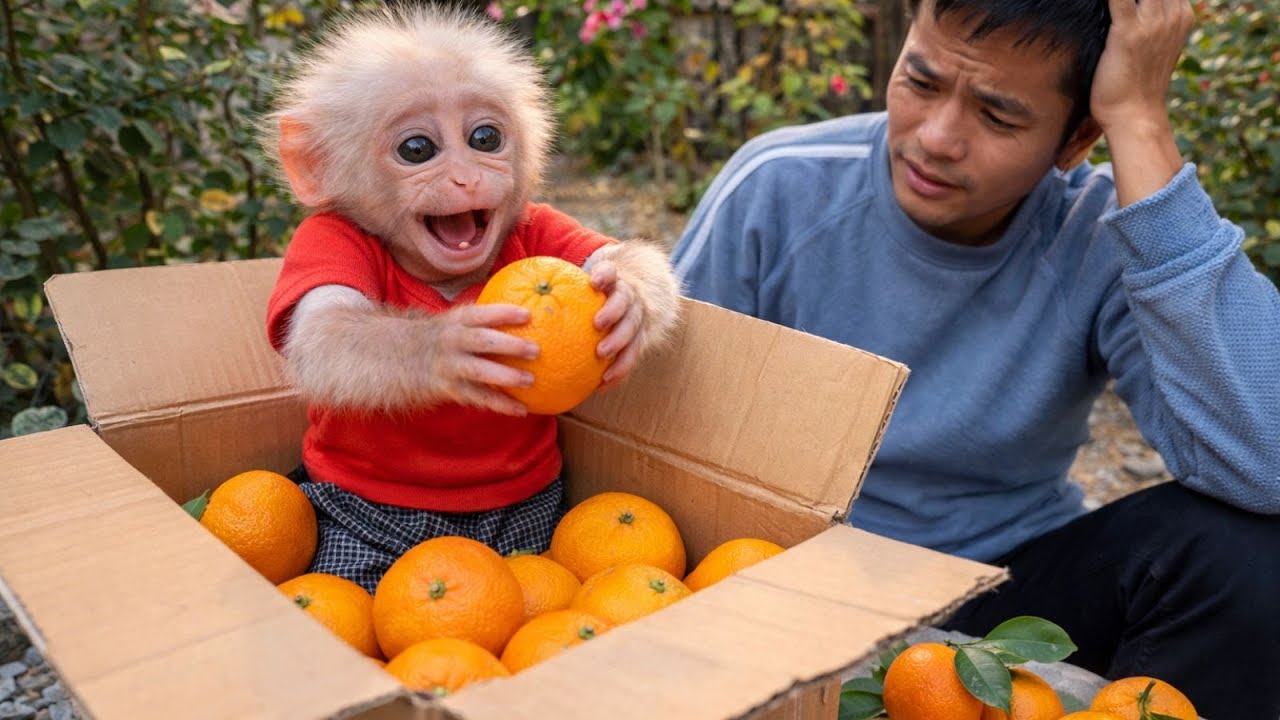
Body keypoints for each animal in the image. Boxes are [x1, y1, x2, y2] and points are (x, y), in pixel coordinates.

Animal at [258, 5, 681, 593]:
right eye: (417, 150)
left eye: (485, 138)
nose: (466, 177)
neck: (443, 279)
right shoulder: (323, 242)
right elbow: (327, 329)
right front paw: (448, 345)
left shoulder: (544, 222)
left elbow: (606, 253)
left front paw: (629, 301)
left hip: (533, 520)